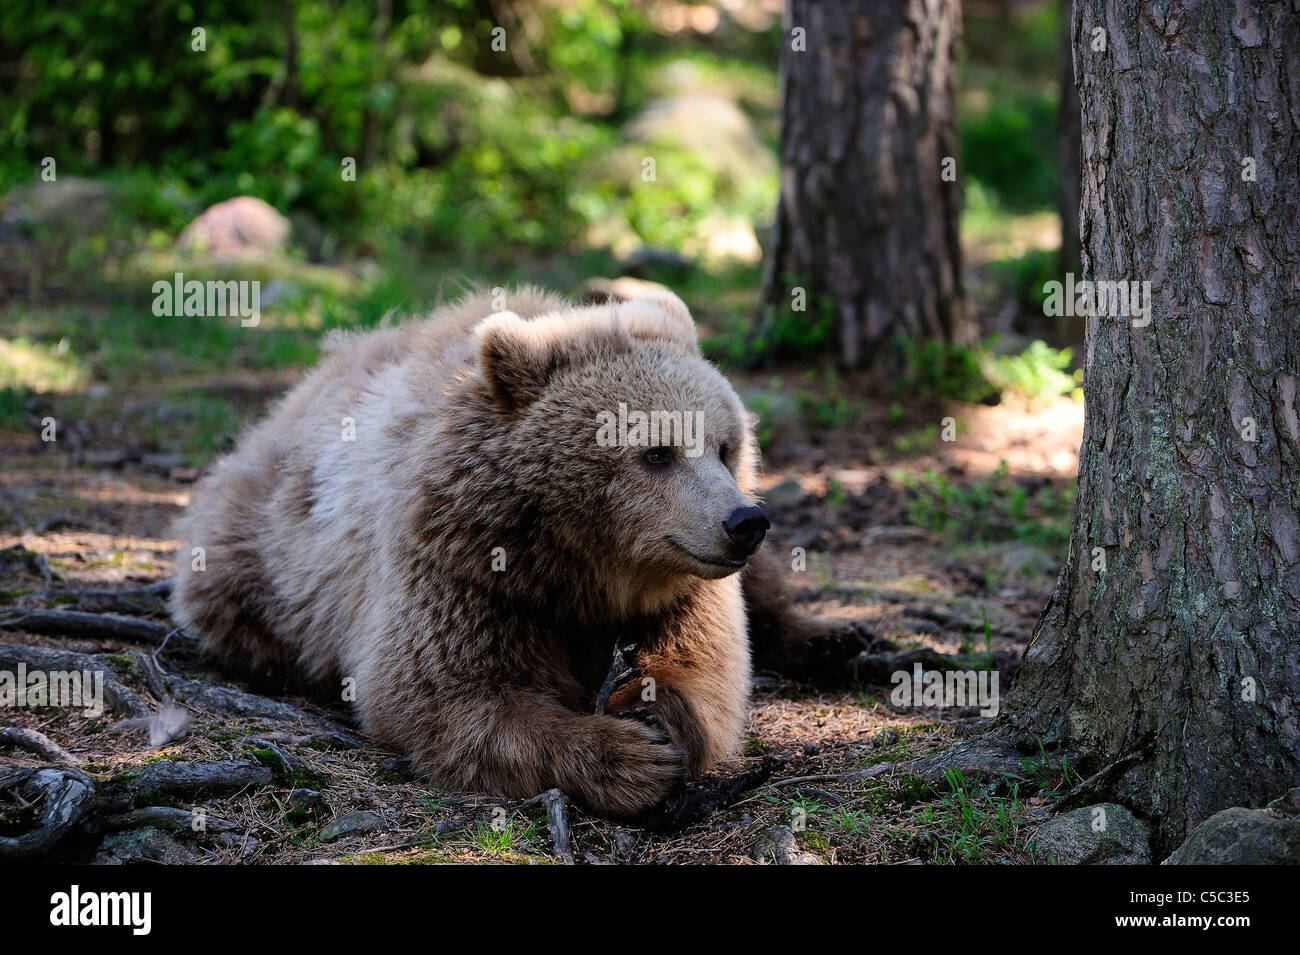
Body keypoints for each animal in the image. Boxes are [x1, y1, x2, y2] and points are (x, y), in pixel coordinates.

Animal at [169, 285, 806, 818]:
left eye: (723, 446)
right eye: (656, 452)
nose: (744, 522)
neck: (583, 564)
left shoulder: (683, 591)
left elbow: (707, 669)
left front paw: (656, 713)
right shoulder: (464, 565)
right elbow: (443, 692)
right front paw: (627, 756)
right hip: (262, 555)